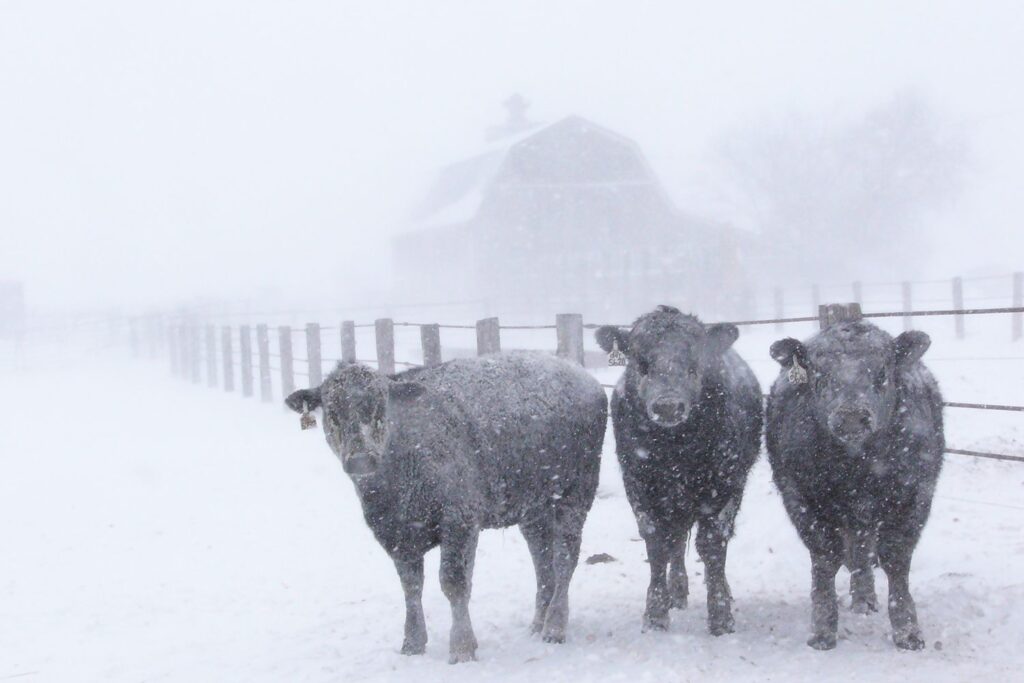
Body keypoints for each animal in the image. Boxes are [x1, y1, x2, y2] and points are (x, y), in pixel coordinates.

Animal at [285, 352, 607, 663]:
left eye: (379, 406)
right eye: (332, 411)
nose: (361, 460)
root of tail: (585, 377)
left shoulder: (459, 522)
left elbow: (453, 582)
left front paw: (462, 647)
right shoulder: (396, 536)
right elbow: (411, 586)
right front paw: (412, 644)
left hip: (574, 496)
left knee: (565, 557)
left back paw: (554, 627)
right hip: (534, 509)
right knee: (542, 559)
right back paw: (538, 623)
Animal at [595, 305, 763, 635]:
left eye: (695, 363)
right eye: (641, 362)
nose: (668, 406)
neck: (676, 450)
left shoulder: (725, 484)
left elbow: (712, 543)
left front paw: (721, 614)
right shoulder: (638, 483)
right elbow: (657, 542)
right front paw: (656, 612)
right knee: (675, 540)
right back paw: (677, 590)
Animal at [766, 320, 944, 650]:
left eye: (883, 372)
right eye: (818, 374)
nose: (850, 417)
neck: (857, 469)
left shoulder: (914, 496)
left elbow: (896, 559)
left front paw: (907, 630)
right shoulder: (801, 498)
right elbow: (825, 558)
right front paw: (822, 629)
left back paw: (865, 599)